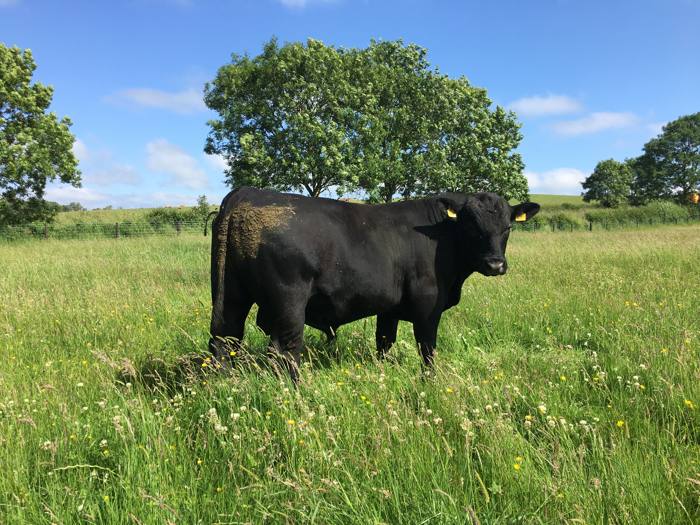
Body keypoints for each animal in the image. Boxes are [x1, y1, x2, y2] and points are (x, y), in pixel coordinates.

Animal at [208, 187, 539, 382]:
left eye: (507, 227)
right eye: (471, 225)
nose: (495, 264)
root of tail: (247, 193)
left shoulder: (389, 309)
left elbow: (384, 343)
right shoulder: (428, 308)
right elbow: (427, 350)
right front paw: (429, 382)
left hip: (232, 297)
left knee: (224, 341)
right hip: (288, 302)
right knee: (283, 350)